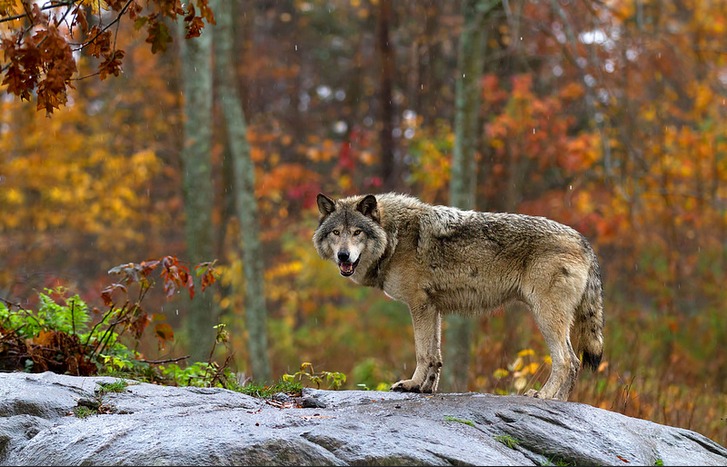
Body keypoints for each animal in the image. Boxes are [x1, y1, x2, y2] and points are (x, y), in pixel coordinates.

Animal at [312, 192, 604, 401]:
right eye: (336, 232)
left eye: (357, 232)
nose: (343, 256)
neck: (394, 238)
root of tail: (584, 242)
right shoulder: (433, 308)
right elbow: (435, 355)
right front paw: (426, 389)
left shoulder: (419, 305)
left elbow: (422, 353)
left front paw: (411, 384)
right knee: (575, 363)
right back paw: (559, 401)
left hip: (545, 316)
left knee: (565, 361)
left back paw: (543, 396)